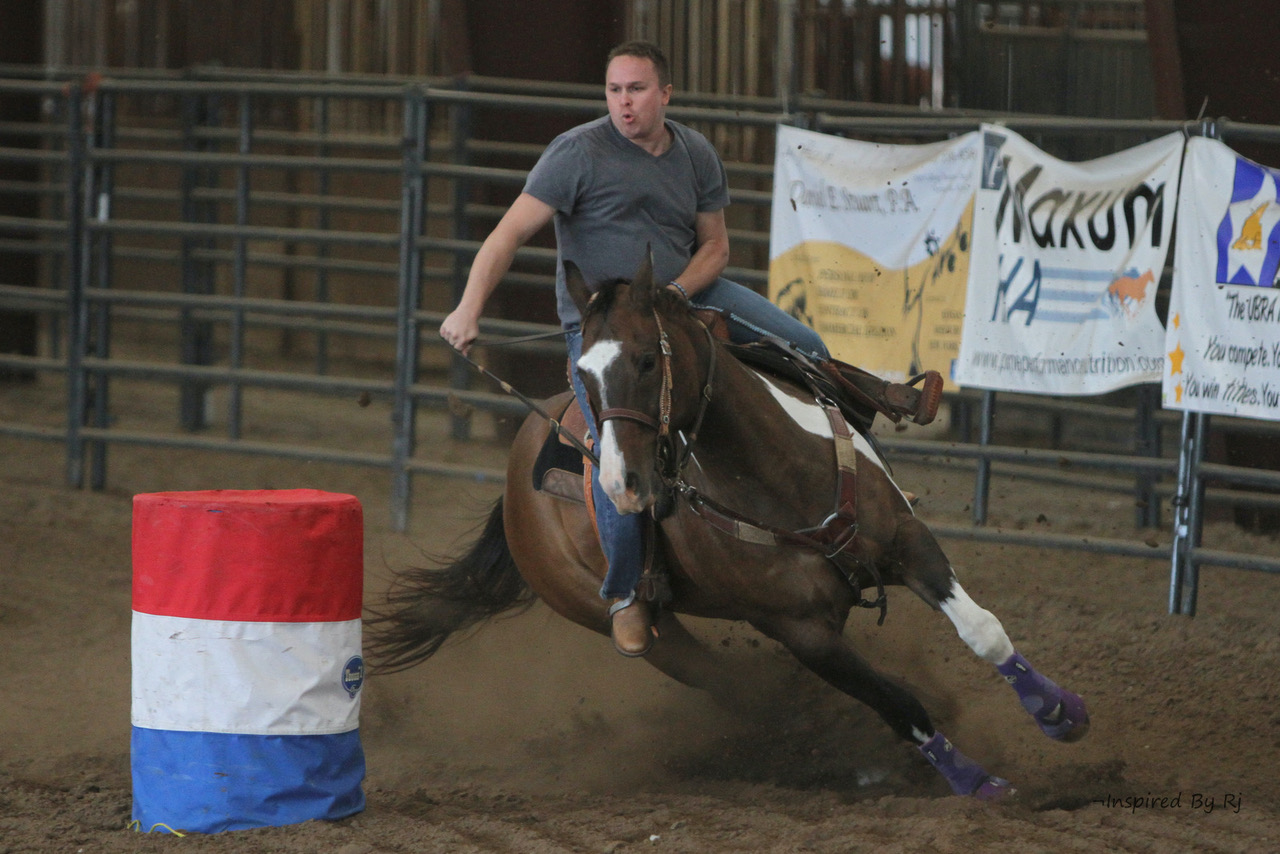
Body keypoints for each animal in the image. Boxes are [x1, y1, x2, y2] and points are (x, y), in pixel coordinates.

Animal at [371, 255, 1090, 800]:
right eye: (583, 372)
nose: (620, 484)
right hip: (634, 626)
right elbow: (897, 703)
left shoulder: (908, 542)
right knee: (729, 685)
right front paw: (978, 784)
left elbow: (984, 631)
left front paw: (1060, 713)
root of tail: (517, 474)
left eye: (646, 360)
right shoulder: (801, 632)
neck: (782, 476)